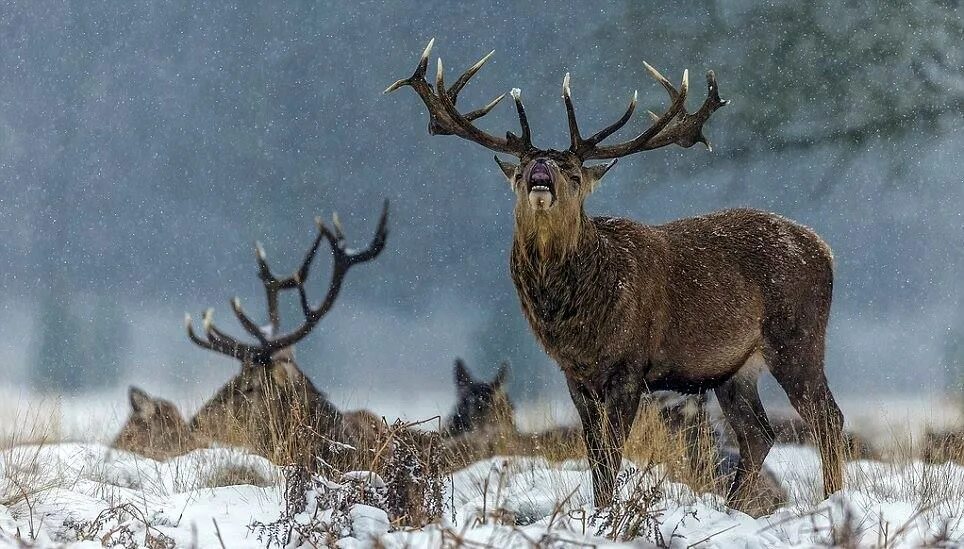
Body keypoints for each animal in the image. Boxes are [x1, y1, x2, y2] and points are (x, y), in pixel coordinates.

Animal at [386, 40, 844, 512]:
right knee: (757, 432)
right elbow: (596, 456)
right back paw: (734, 506)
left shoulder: (630, 365)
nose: (541, 170)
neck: (579, 319)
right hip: (733, 367)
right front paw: (600, 508)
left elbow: (612, 453)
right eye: (520, 169)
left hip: (797, 335)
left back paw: (833, 500)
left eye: (573, 173)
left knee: (827, 416)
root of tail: (824, 250)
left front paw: (608, 513)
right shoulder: (575, 374)